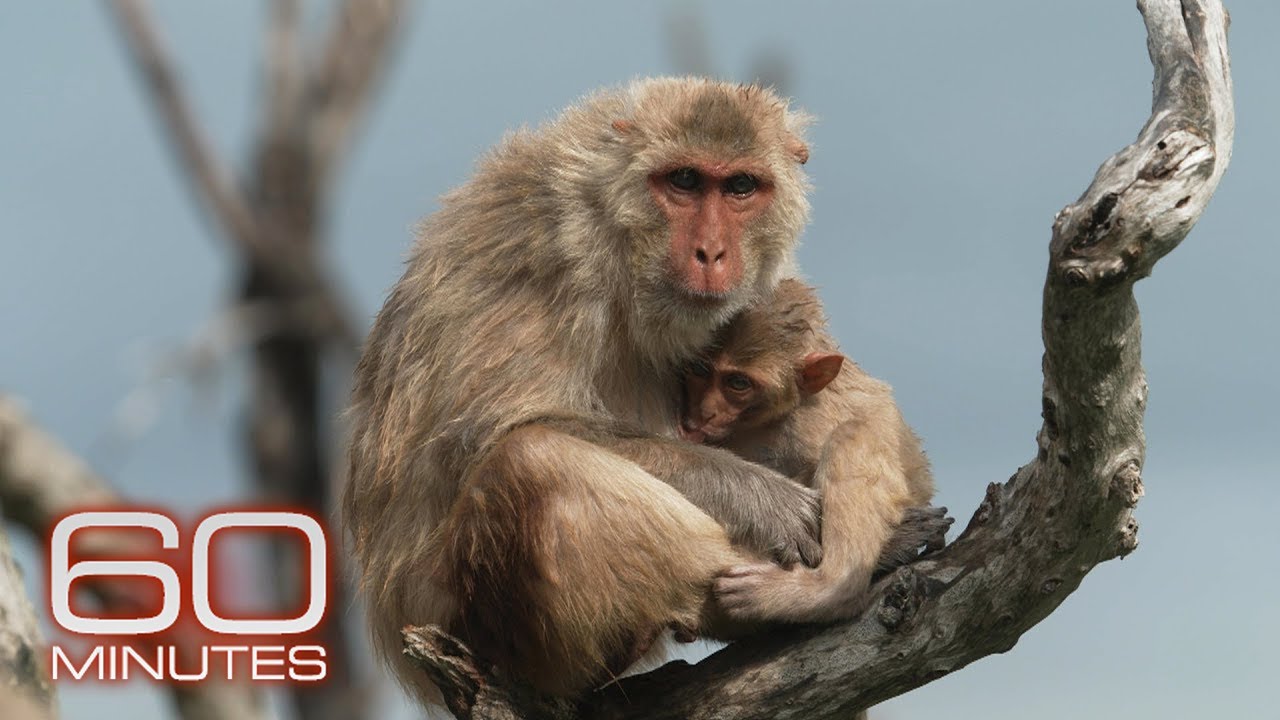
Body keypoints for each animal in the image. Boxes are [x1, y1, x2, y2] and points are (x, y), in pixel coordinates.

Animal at [676, 278, 941, 624]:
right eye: (700, 369)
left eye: (738, 383)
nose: (705, 412)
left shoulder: (806, 425)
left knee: (850, 438)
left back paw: (829, 590)